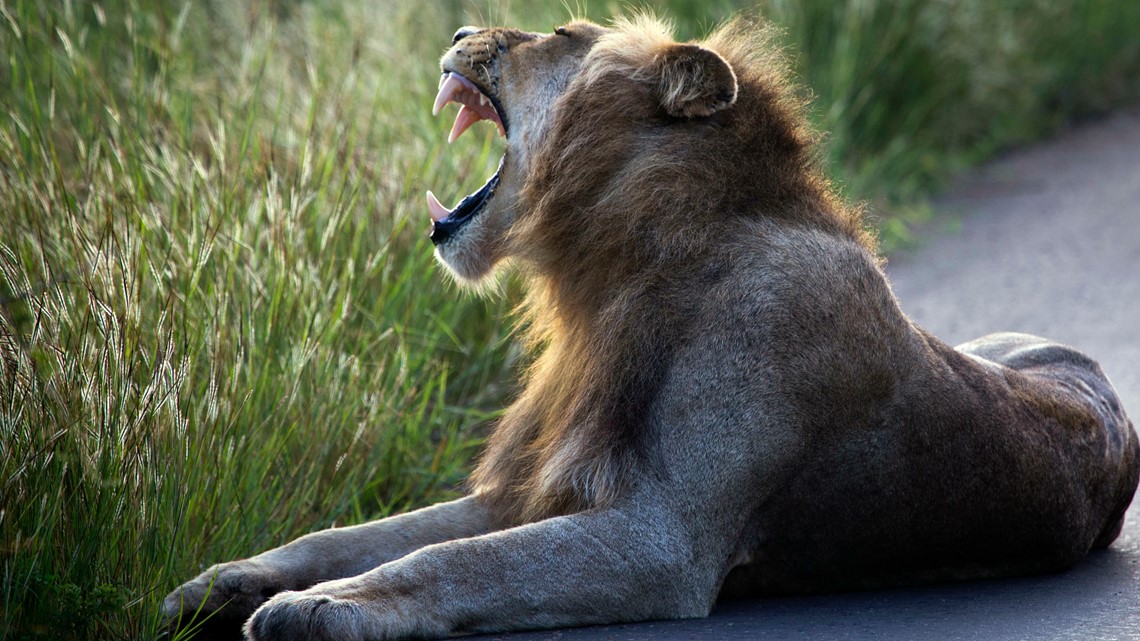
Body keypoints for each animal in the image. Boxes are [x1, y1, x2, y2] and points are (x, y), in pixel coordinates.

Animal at [164, 15, 1140, 641]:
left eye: (559, 35)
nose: (459, 27)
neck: (611, 272)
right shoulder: (532, 485)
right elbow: (358, 533)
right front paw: (220, 580)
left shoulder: (660, 538)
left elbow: (454, 562)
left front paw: (320, 606)